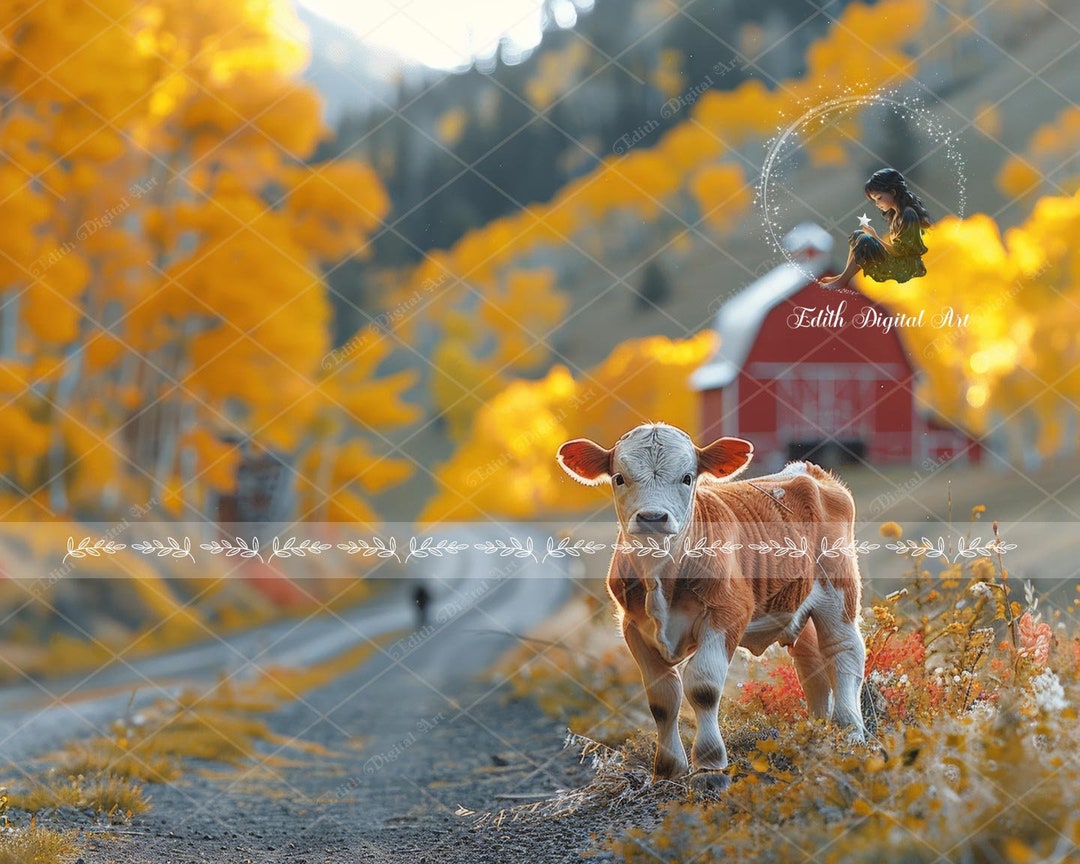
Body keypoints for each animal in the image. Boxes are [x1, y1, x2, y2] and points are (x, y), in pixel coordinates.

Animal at [557, 422, 865, 789]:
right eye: (619, 477)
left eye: (688, 477)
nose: (652, 517)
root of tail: (806, 470)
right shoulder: (632, 626)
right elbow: (662, 698)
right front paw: (668, 768)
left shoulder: (727, 613)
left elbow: (702, 686)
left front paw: (709, 764)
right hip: (797, 606)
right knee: (811, 665)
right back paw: (816, 732)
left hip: (838, 590)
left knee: (843, 650)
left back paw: (849, 733)